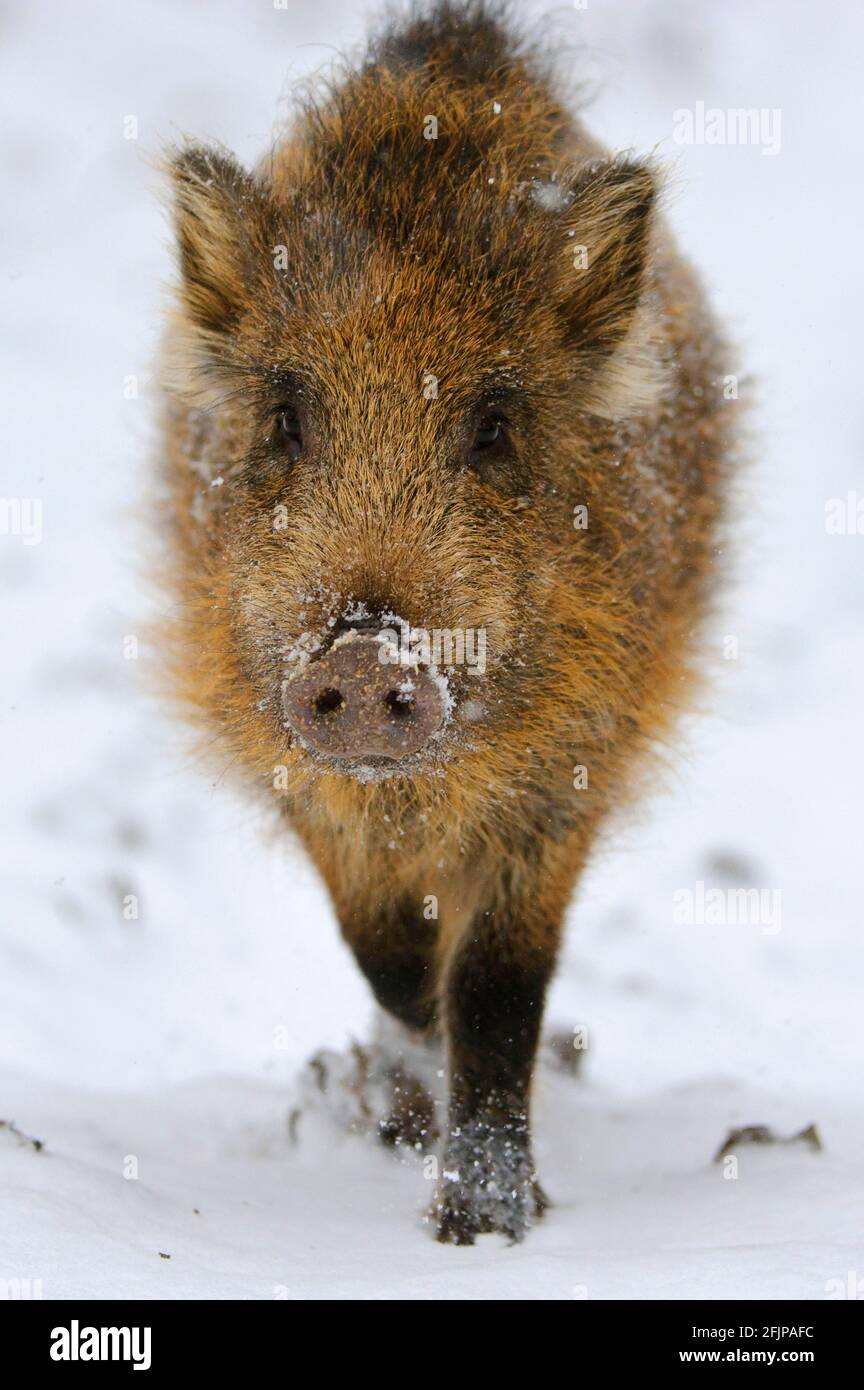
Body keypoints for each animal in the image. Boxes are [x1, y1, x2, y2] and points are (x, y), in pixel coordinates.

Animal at [157, 0, 735, 1244]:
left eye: (494, 425)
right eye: (286, 413)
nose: (370, 650)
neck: (414, 787)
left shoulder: (574, 762)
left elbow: (499, 984)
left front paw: (485, 1228)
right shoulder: (281, 749)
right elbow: (386, 951)